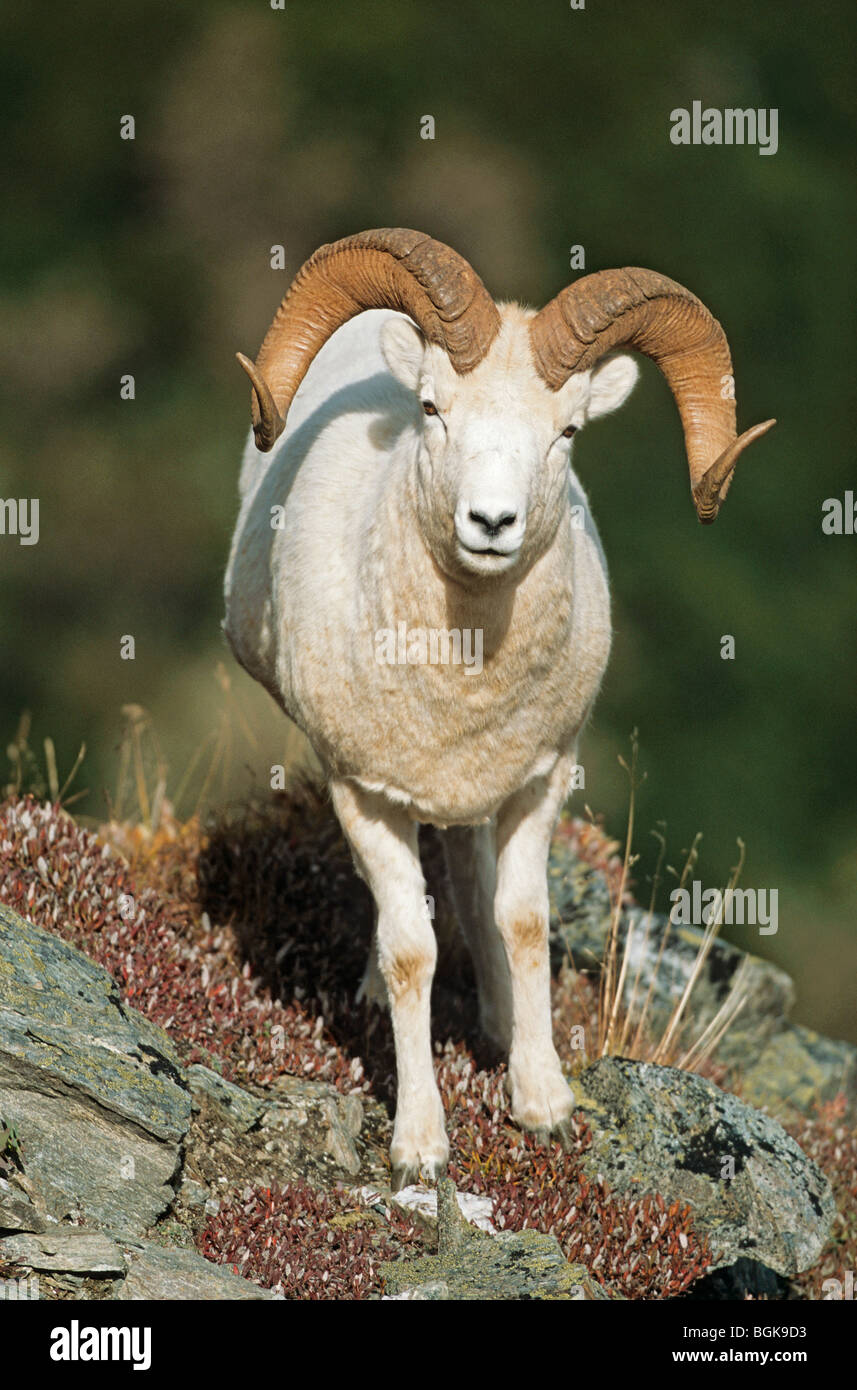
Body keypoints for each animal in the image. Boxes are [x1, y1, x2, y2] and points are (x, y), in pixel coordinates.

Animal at [224, 229, 774, 1190]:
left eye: (568, 431)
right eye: (433, 408)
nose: (489, 522)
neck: (464, 673)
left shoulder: (538, 779)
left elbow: (522, 921)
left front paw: (542, 1103)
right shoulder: (363, 790)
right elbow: (410, 948)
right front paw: (418, 1146)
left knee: (469, 878)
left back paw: (492, 1017)